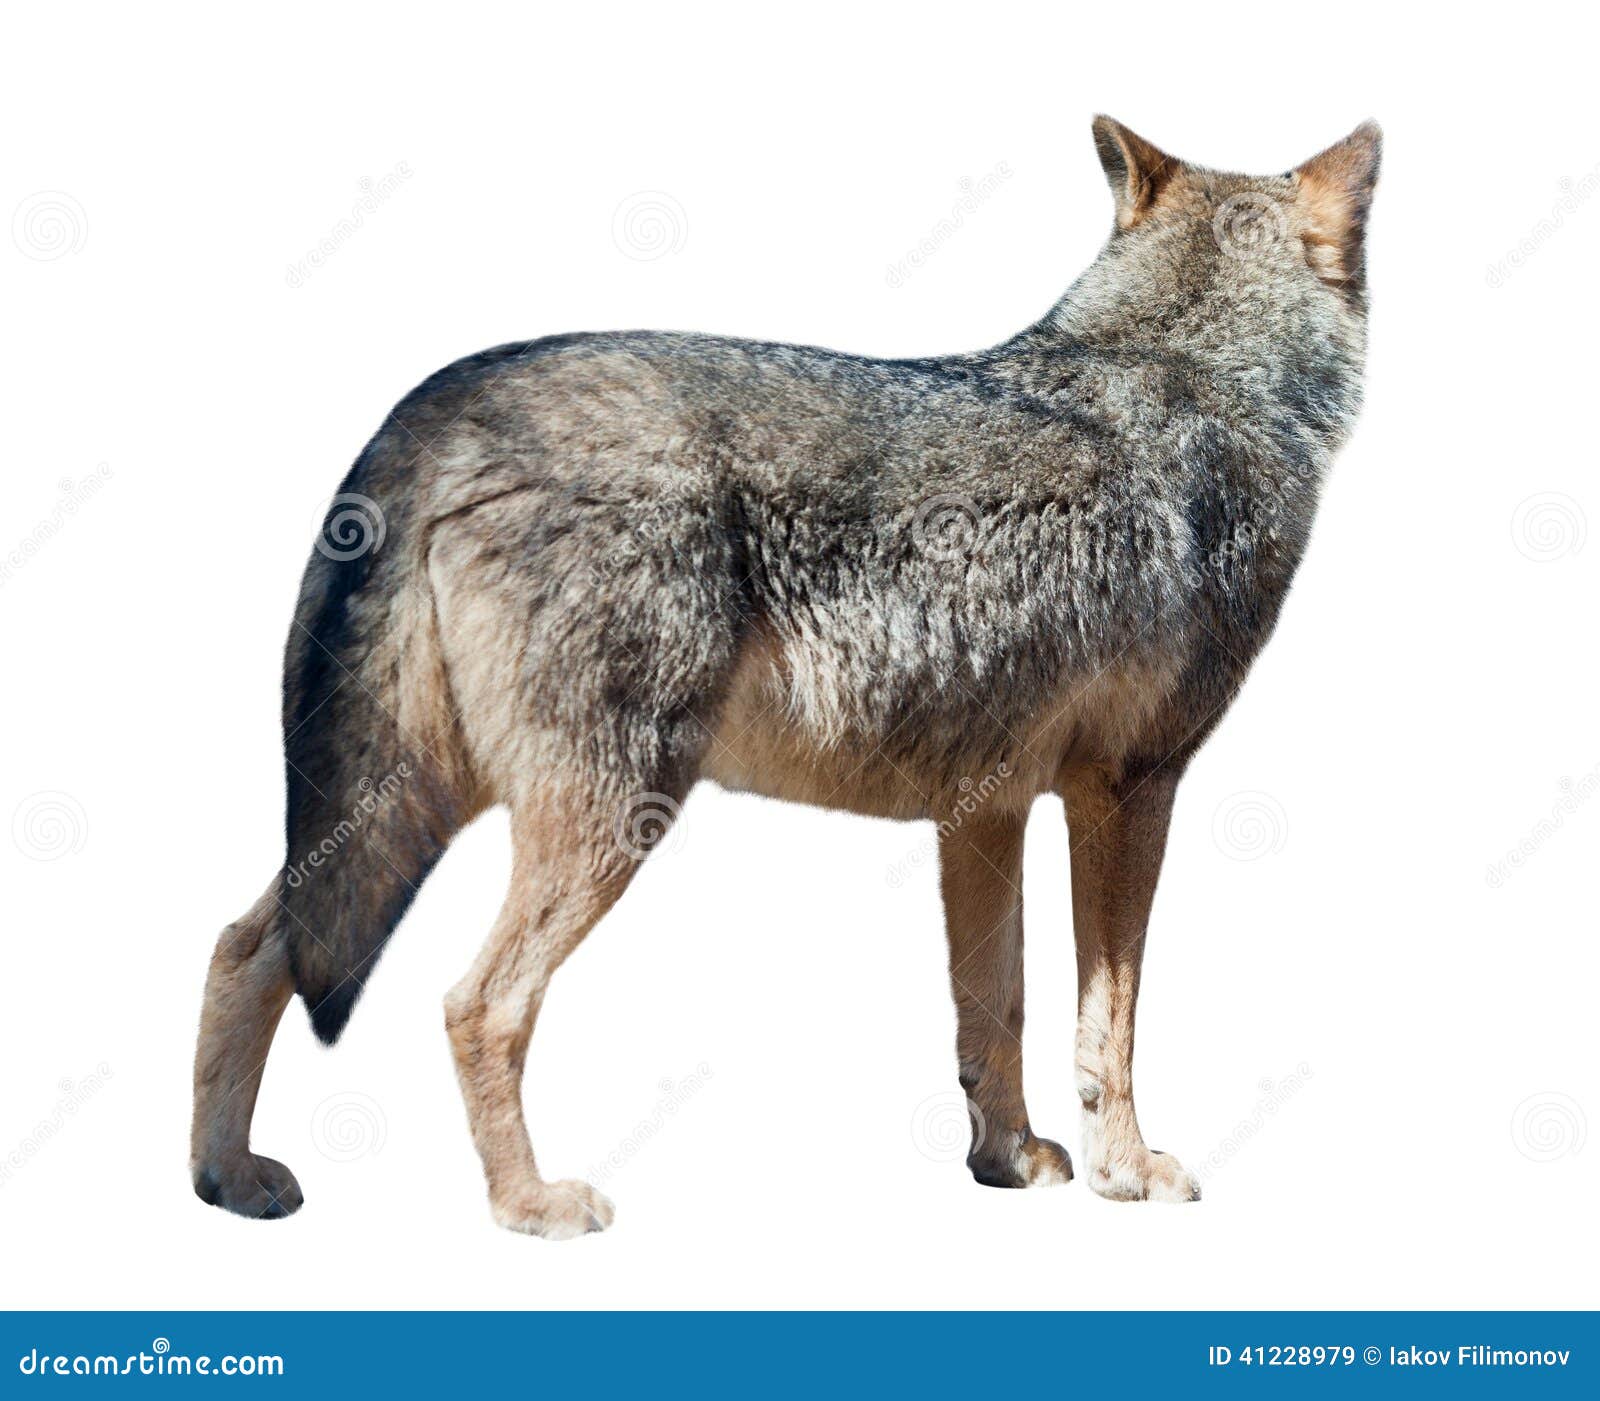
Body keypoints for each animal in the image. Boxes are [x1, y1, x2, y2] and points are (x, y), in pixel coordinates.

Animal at [191, 117, 1380, 1236]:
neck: (1191, 369)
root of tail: (444, 400)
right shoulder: (1130, 789)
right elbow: (1110, 1022)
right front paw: (1126, 1173)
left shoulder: (983, 812)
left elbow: (993, 1007)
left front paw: (1005, 1162)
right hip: (606, 813)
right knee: (476, 1002)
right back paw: (530, 1206)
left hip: (404, 810)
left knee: (245, 946)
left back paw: (226, 1179)